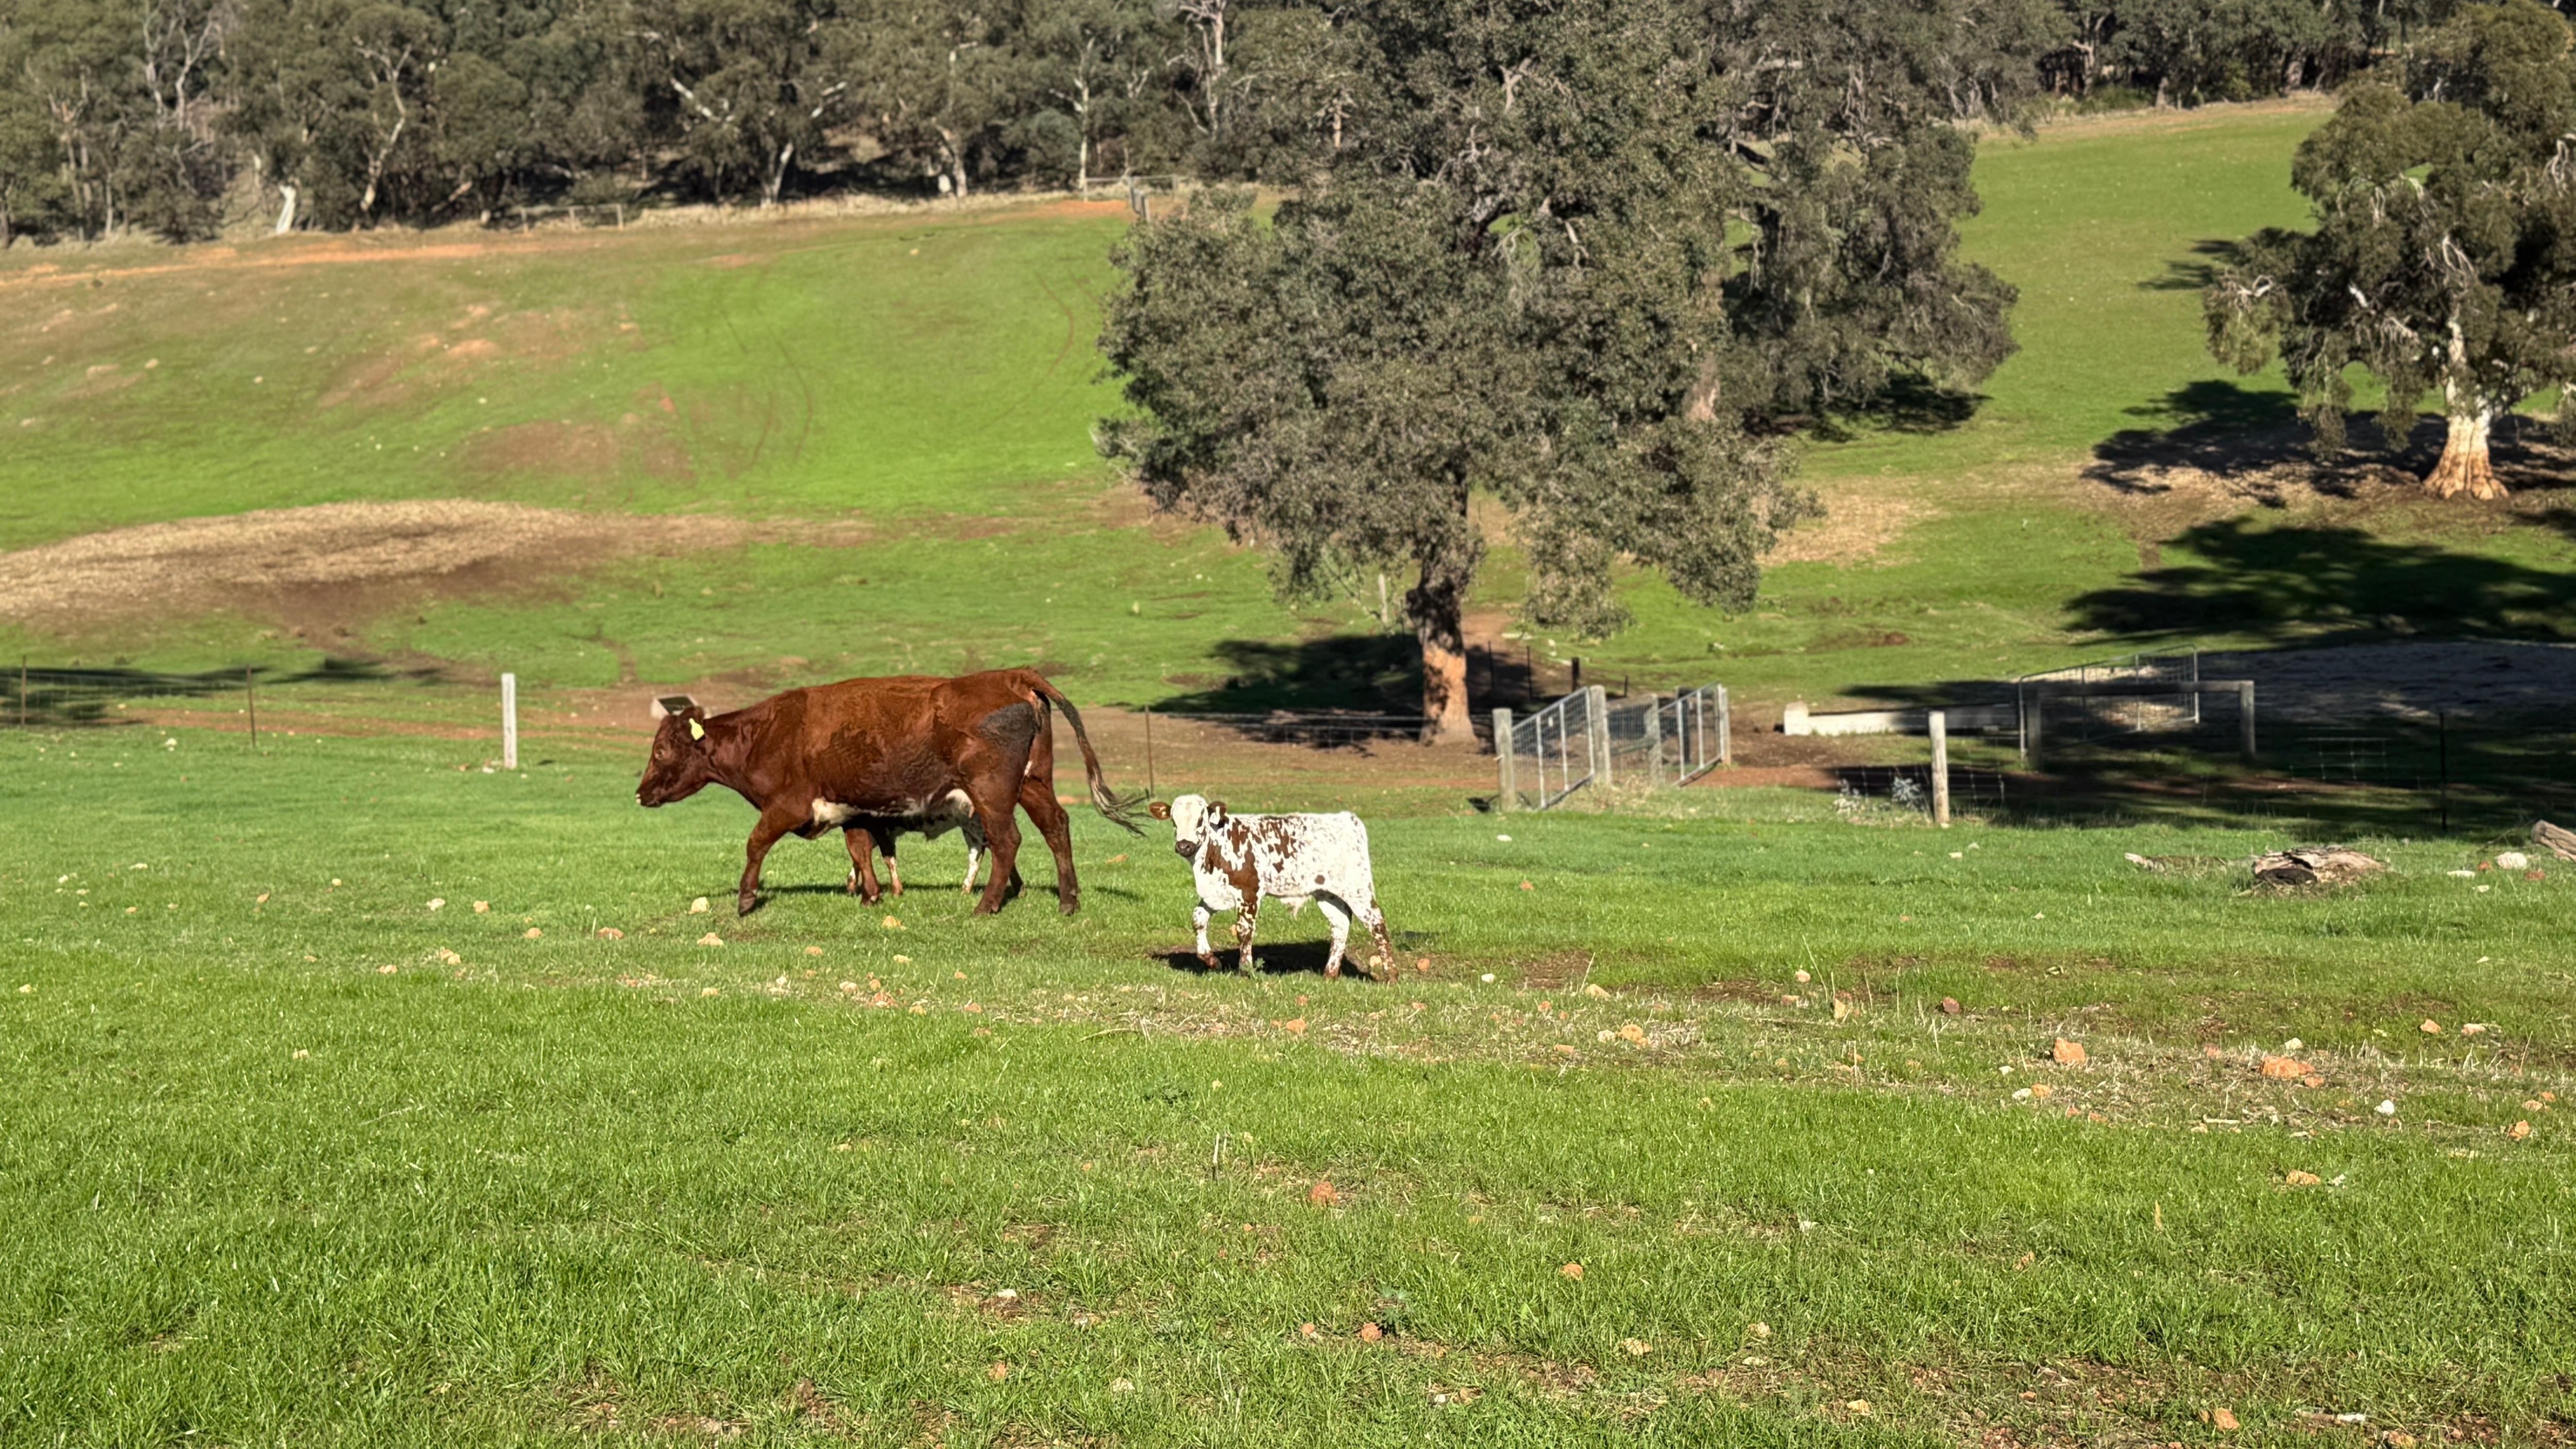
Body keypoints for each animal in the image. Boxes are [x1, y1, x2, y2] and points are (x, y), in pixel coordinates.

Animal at [637, 670, 1141, 916]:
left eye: (660, 750)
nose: (640, 795)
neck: (768, 734)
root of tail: (1014, 675)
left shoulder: (787, 806)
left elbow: (756, 843)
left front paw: (745, 900)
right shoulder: (853, 810)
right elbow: (860, 851)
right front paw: (872, 895)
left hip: (991, 792)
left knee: (1007, 841)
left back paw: (986, 905)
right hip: (1034, 783)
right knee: (1056, 827)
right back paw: (1068, 901)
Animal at [1148, 793, 1394, 980]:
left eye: (1201, 819)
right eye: (1173, 820)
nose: (1184, 846)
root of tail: (1346, 819)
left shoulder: (1249, 892)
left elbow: (1244, 930)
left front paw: (1245, 970)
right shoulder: (1215, 892)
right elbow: (1198, 919)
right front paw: (1211, 960)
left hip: (1356, 888)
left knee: (1376, 922)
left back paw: (1391, 974)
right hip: (1326, 893)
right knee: (1341, 924)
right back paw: (1330, 974)